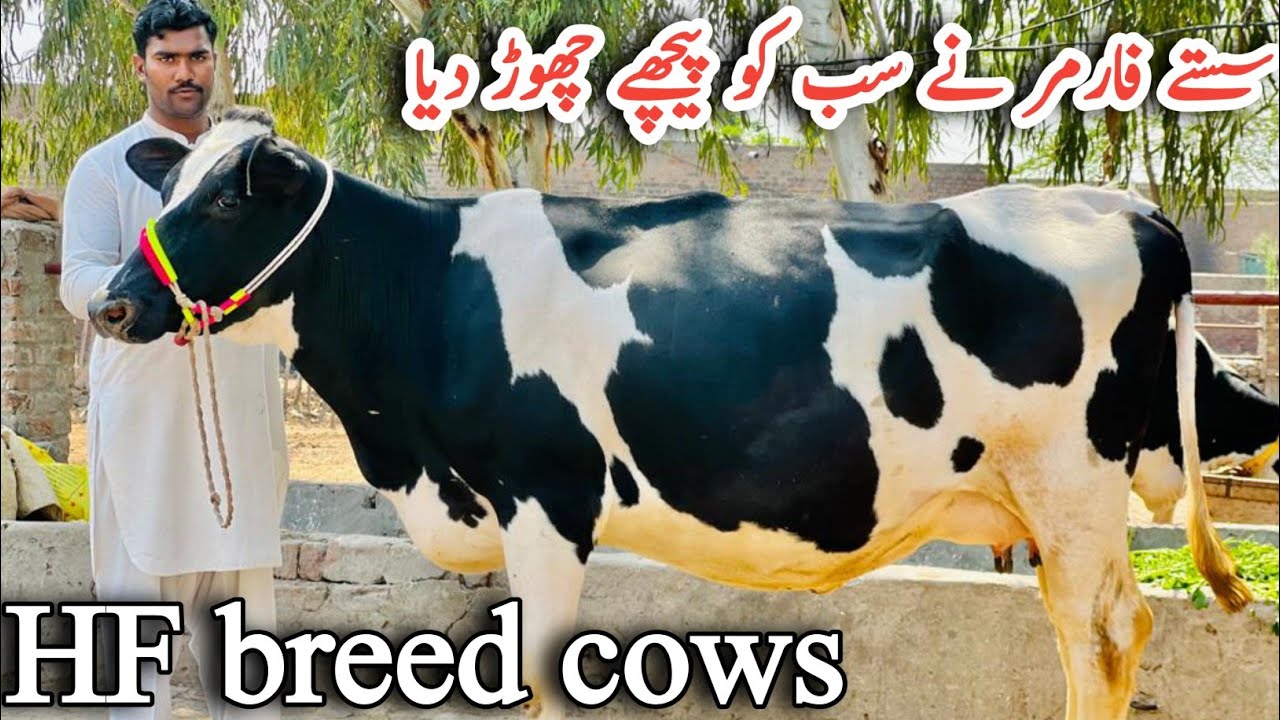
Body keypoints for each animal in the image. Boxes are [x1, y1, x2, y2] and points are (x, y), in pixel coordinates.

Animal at [88, 108, 1252, 720]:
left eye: (227, 199)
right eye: (168, 189)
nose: (112, 302)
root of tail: (1118, 202)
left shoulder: (545, 498)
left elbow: (541, 669)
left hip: (1072, 483)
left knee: (1103, 632)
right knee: (1086, 629)